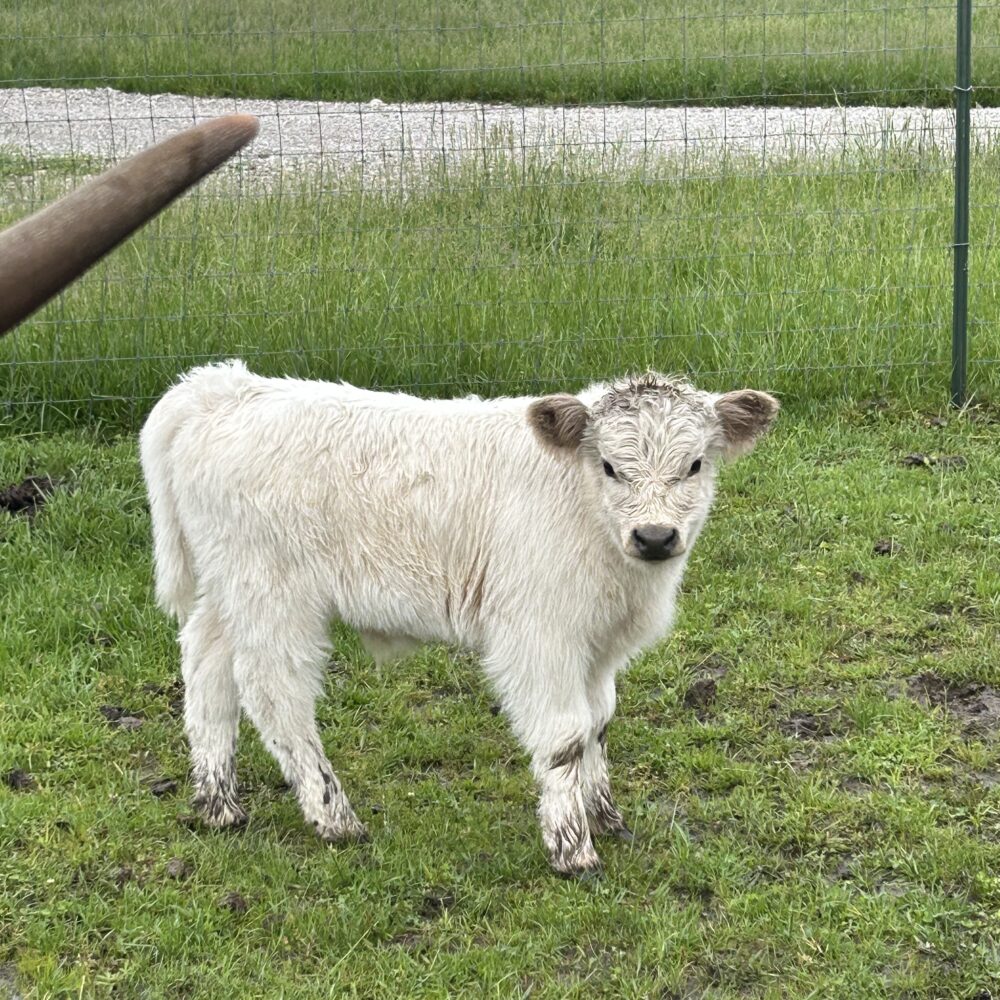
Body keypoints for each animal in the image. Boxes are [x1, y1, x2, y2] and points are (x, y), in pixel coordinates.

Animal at [140, 360, 778, 875]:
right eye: (609, 467)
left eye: (694, 464)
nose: (654, 537)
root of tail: (222, 386)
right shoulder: (538, 633)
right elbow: (565, 737)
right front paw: (572, 849)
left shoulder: (597, 643)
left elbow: (599, 722)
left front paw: (605, 813)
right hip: (272, 594)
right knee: (275, 693)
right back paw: (334, 816)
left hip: (229, 590)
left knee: (206, 665)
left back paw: (218, 803)